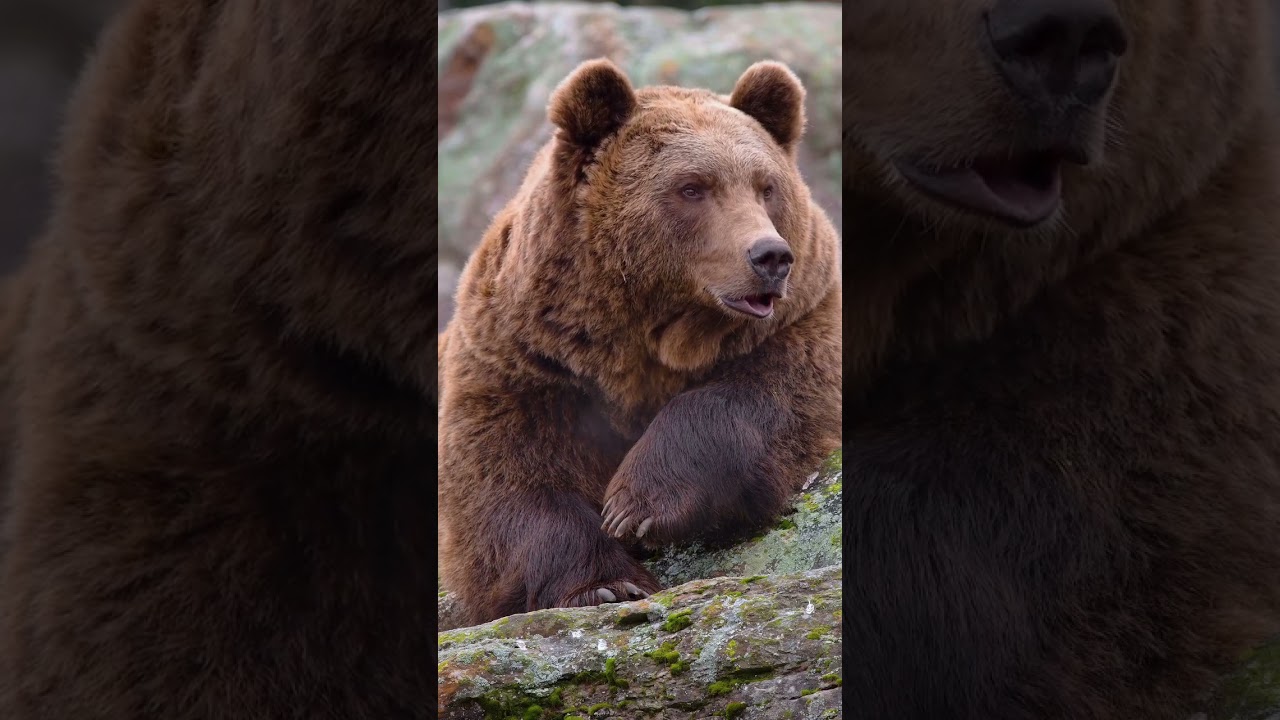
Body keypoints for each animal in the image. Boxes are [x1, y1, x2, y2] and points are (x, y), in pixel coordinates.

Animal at [437, 59, 842, 624]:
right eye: (692, 187)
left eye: (766, 187)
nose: (771, 256)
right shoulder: (521, 357)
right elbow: (501, 473)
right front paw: (607, 583)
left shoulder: (804, 318)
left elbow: (775, 395)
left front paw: (639, 504)